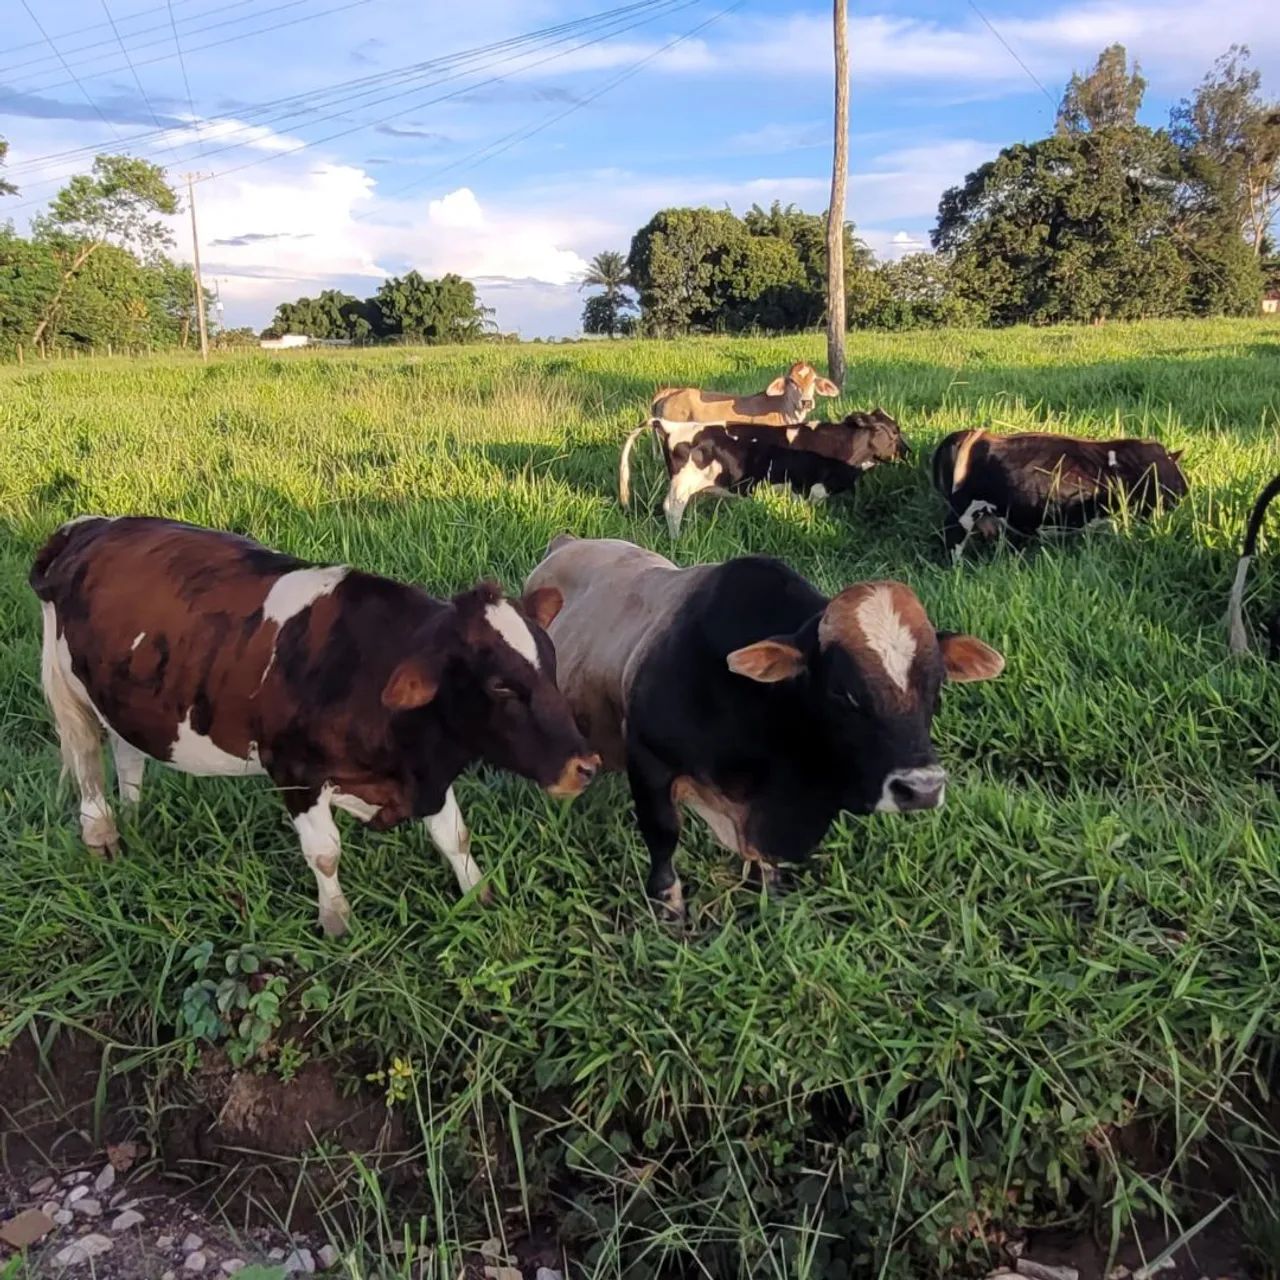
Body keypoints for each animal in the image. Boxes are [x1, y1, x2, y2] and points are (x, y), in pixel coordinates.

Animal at [30, 516, 600, 936]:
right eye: (501, 686)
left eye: (551, 663)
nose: (586, 765)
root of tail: (89, 526)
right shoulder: (294, 771)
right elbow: (325, 854)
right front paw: (336, 921)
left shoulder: (428, 775)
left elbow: (454, 837)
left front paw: (478, 895)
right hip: (68, 690)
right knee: (86, 761)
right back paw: (104, 835)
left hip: (124, 695)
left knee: (127, 751)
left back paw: (135, 811)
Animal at [524, 535, 1004, 918]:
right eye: (843, 692)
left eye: (936, 685)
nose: (921, 789)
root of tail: (565, 543)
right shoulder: (649, 760)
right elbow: (663, 836)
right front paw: (668, 906)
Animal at [620, 409, 909, 539]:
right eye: (894, 431)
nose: (908, 451)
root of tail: (671, 425)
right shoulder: (806, 490)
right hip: (682, 484)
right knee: (671, 508)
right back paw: (677, 540)